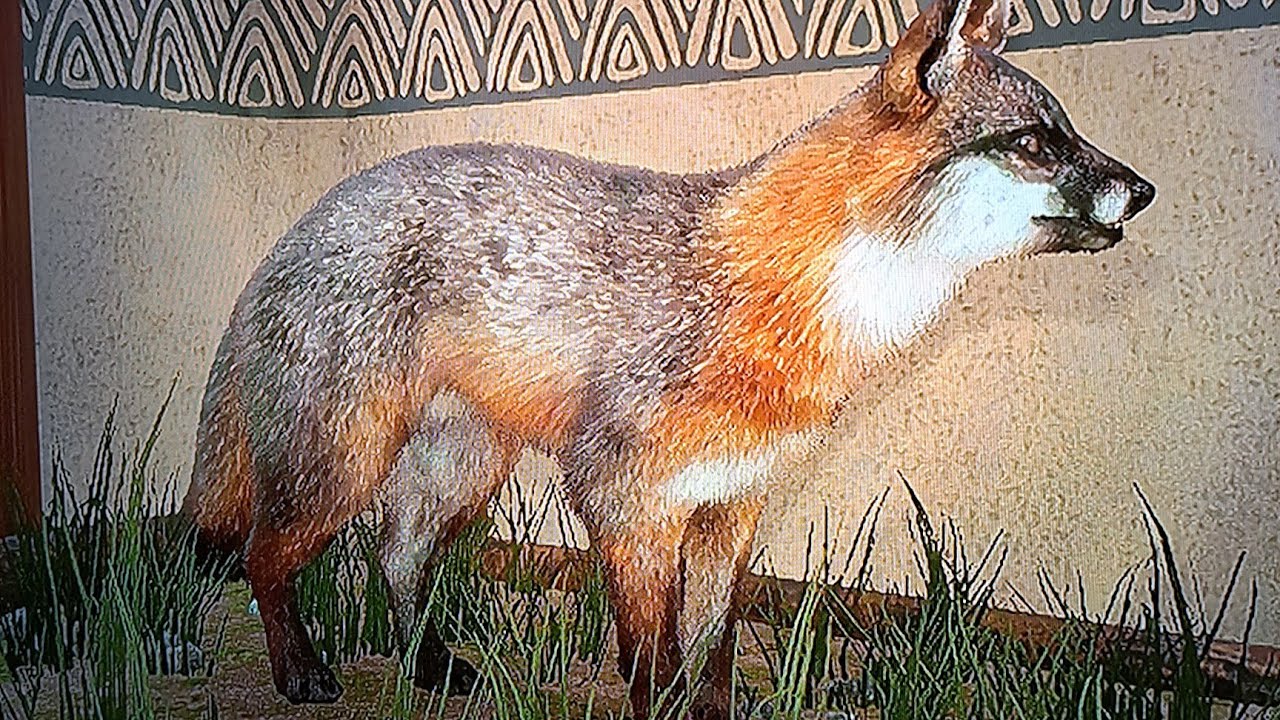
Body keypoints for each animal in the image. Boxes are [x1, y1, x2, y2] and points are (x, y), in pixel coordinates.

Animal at [181, 0, 1154, 714]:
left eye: (1069, 131)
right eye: (1035, 143)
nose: (1145, 190)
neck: (783, 300)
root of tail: (299, 225)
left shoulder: (730, 507)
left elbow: (712, 655)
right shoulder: (626, 500)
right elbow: (653, 664)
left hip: (460, 477)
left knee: (395, 557)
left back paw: (427, 667)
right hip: (342, 470)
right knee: (264, 556)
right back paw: (300, 674)